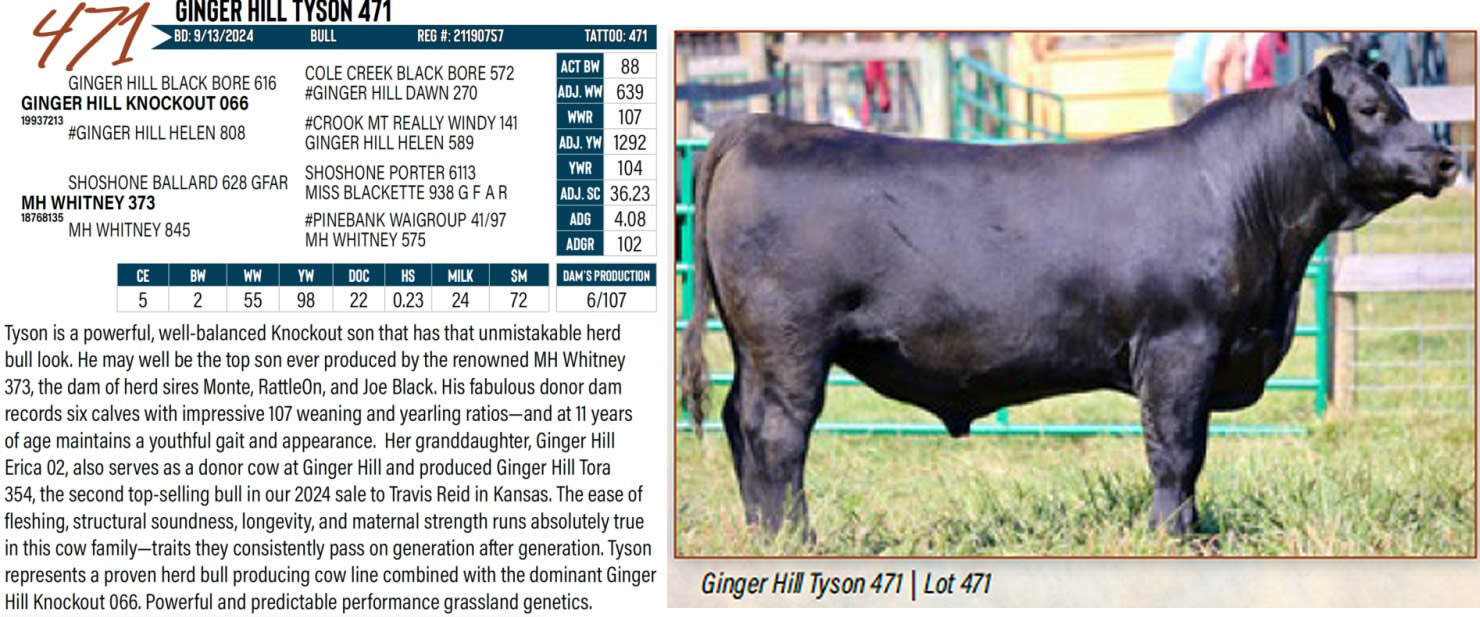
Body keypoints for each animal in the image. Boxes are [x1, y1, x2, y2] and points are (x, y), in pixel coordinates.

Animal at [679, 52, 1459, 538]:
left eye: (1403, 102)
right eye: (1370, 108)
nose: (1448, 157)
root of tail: (763, 124)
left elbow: (1194, 453)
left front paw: (1195, 532)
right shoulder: (1178, 345)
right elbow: (1176, 450)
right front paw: (1171, 537)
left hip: (753, 349)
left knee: (738, 421)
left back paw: (761, 534)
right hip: (790, 346)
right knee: (778, 434)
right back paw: (797, 539)